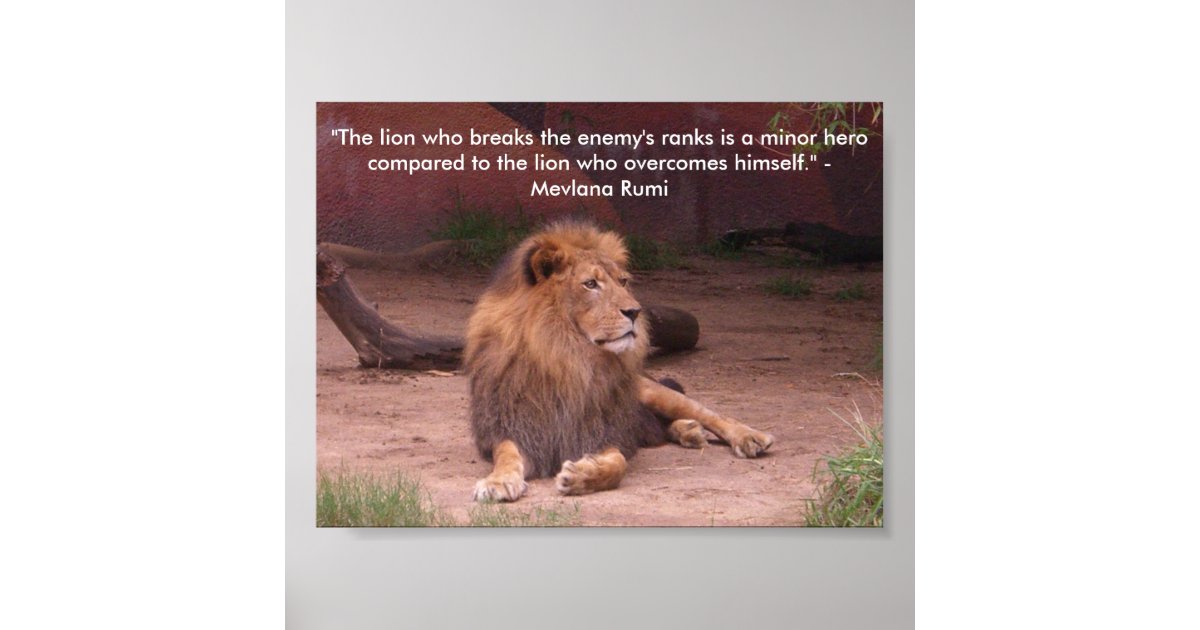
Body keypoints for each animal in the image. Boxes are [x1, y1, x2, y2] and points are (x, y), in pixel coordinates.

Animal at [465, 220, 775, 502]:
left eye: (622, 281)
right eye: (590, 284)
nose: (635, 311)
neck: (568, 356)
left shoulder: (602, 432)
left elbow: (619, 463)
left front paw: (580, 476)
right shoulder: (512, 427)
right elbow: (507, 455)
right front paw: (498, 482)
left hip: (649, 390)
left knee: (704, 411)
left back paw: (748, 437)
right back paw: (688, 431)